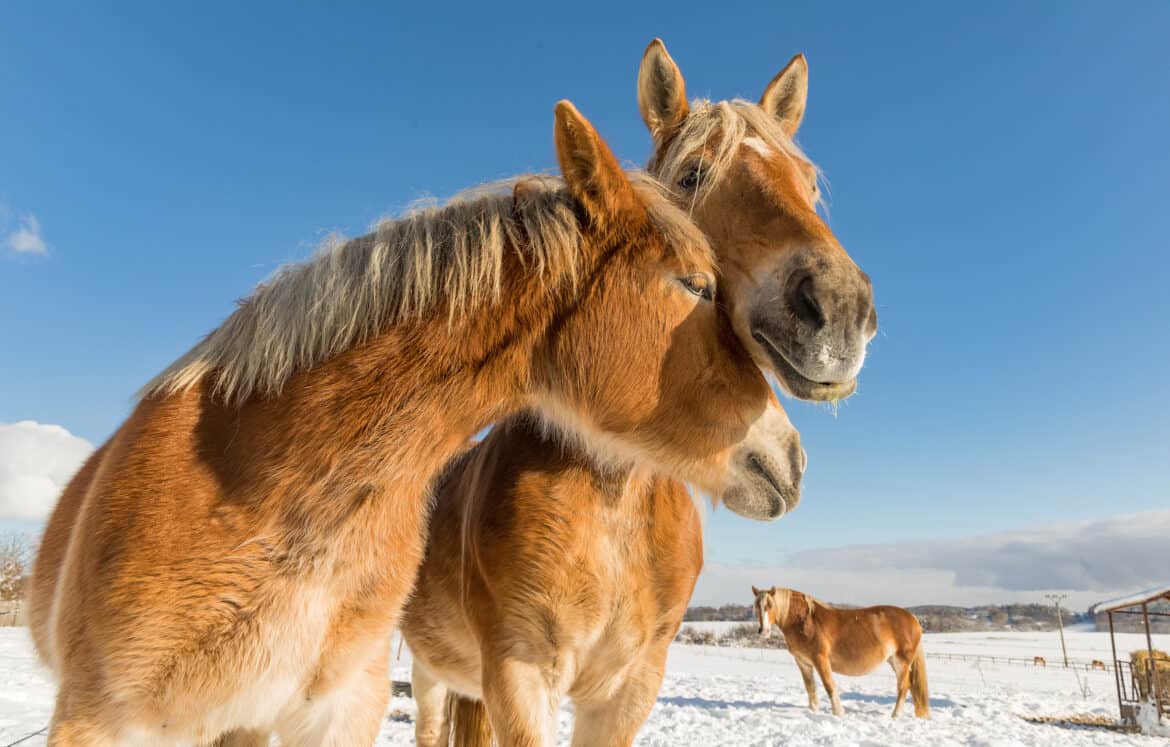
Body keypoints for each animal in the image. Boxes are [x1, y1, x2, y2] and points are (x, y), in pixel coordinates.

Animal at [403, 40, 878, 746]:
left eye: (810, 184)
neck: (617, 502)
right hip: (432, 678)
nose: (841, 307)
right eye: (691, 177)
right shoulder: (520, 676)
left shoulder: (632, 685)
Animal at [753, 586, 930, 718]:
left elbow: (829, 685)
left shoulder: (820, 659)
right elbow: (810, 687)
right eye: (757, 607)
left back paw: (895, 715)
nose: (763, 631)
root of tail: (914, 619)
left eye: (770, 606)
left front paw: (838, 712)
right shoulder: (803, 662)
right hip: (894, 661)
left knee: (903, 687)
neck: (805, 621)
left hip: (902, 662)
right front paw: (813, 711)